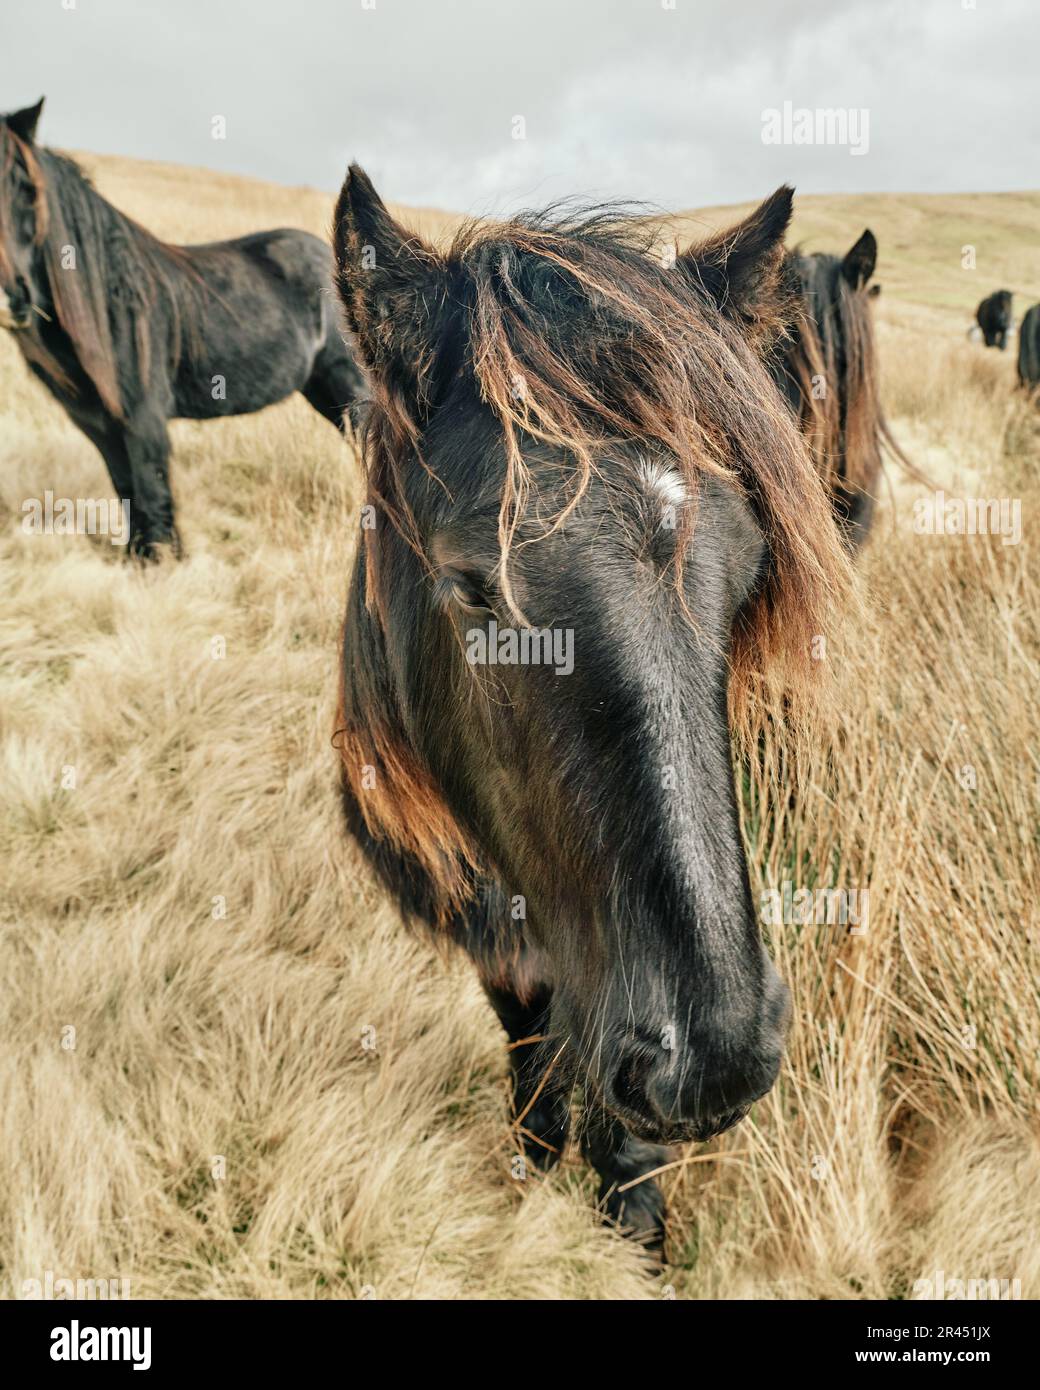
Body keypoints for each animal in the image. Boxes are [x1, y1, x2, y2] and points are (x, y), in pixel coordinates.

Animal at [0, 99, 365, 558]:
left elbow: (151, 485)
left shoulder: (142, 417)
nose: (10, 297)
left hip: (348, 381)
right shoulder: (98, 424)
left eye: (27, 189)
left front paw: (162, 557)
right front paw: (136, 557)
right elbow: (125, 487)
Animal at [330, 165, 853, 1252]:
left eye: (751, 570)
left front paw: (630, 1204)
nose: (714, 1060)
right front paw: (534, 1157)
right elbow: (528, 1024)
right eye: (472, 586)